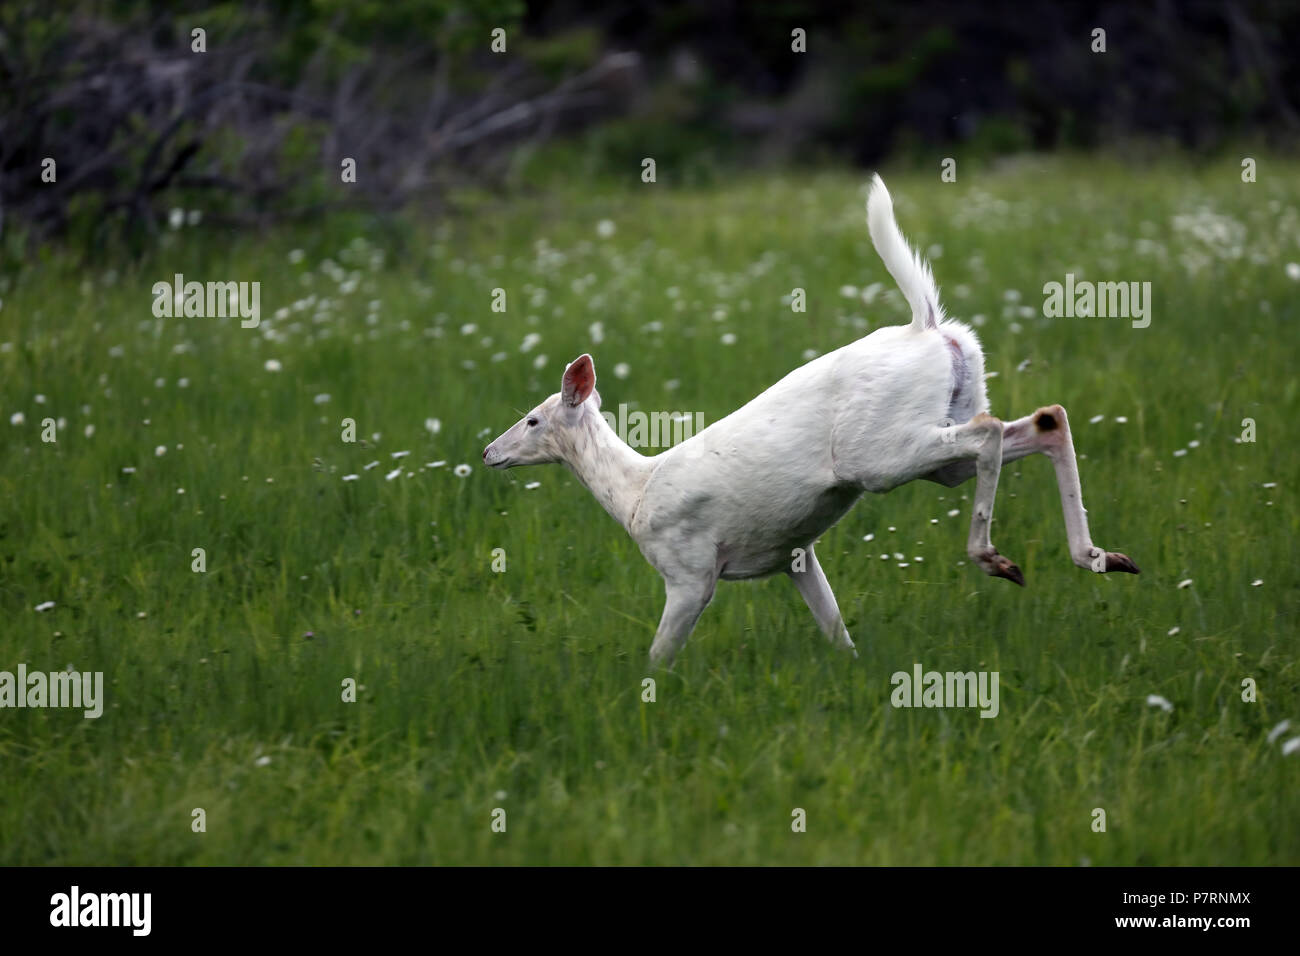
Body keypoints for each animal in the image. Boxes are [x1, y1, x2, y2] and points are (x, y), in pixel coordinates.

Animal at [483, 175, 1139, 666]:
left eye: (534, 420)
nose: (490, 452)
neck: (633, 493)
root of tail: (927, 326)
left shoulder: (690, 571)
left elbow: (659, 656)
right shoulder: (794, 555)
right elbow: (835, 627)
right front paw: (850, 666)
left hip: (879, 455)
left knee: (989, 431)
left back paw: (995, 558)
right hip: (940, 427)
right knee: (1042, 420)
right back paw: (1101, 557)